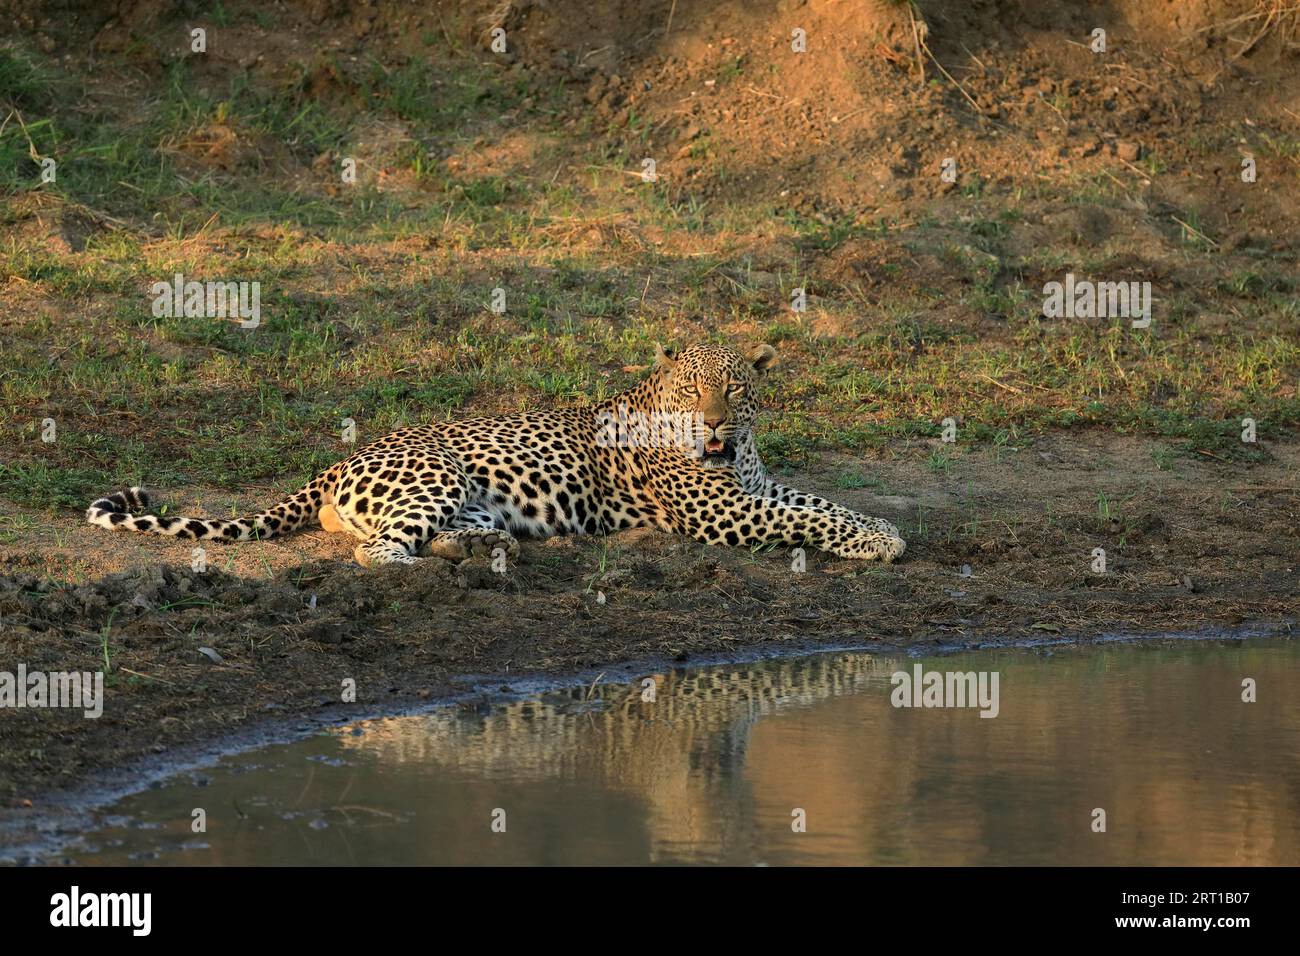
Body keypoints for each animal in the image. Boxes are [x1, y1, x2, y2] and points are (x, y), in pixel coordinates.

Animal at [86, 343, 906, 567]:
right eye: (691, 392)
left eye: (734, 389)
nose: (714, 426)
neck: (735, 457)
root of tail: (335, 463)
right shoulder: (726, 513)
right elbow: (811, 519)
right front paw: (877, 543)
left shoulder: (755, 490)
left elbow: (818, 503)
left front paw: (883, 530)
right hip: (436, 476)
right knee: (374, 551)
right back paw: (427, 568)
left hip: (462, 501)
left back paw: (476, 549)